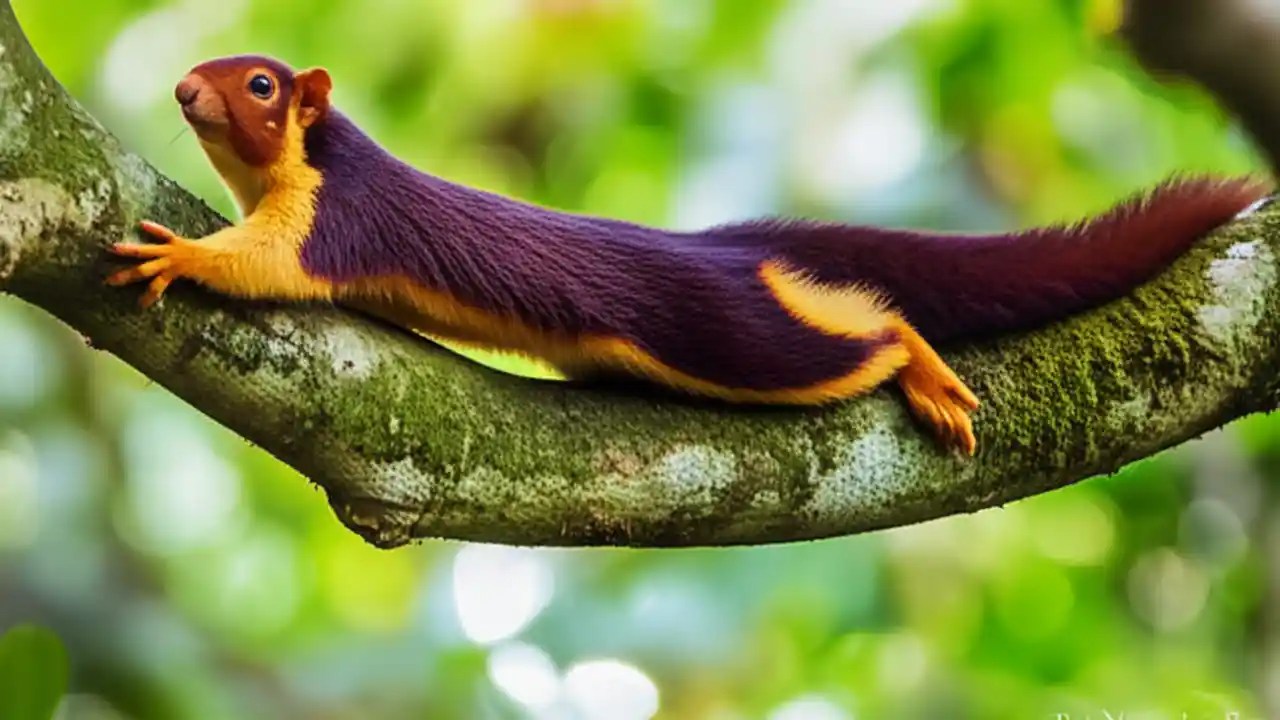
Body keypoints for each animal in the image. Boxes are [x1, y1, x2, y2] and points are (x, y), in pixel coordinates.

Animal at [107, 55, 1270, 456]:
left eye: (260, 84)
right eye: (211, 69)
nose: (184, 89)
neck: (298, 161)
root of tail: (726, 248)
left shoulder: (334, 216)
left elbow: (267, 265)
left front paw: (181, 258)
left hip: (730, 333)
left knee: (869, 333)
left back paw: (927, 373)